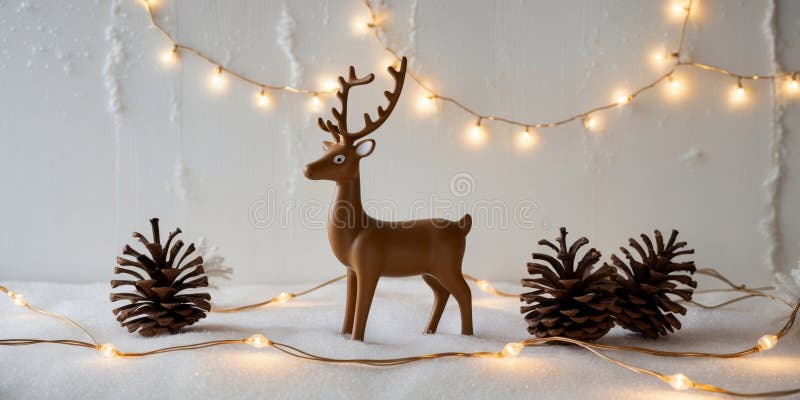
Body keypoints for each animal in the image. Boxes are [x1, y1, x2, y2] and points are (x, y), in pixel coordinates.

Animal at [303, 57, 473, 341]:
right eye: (329, 149)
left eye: (340, 157)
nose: (307, 169)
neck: (355, 234)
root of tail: (462, 226)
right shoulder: (351, 270)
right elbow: (349, 307)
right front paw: (343, 336)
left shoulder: (370, 266)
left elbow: (362, 308)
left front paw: (357, 340)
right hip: (430, 271)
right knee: (442, 293)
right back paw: (427, 332)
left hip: (449, 264)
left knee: (465, 292)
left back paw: (468, 337)